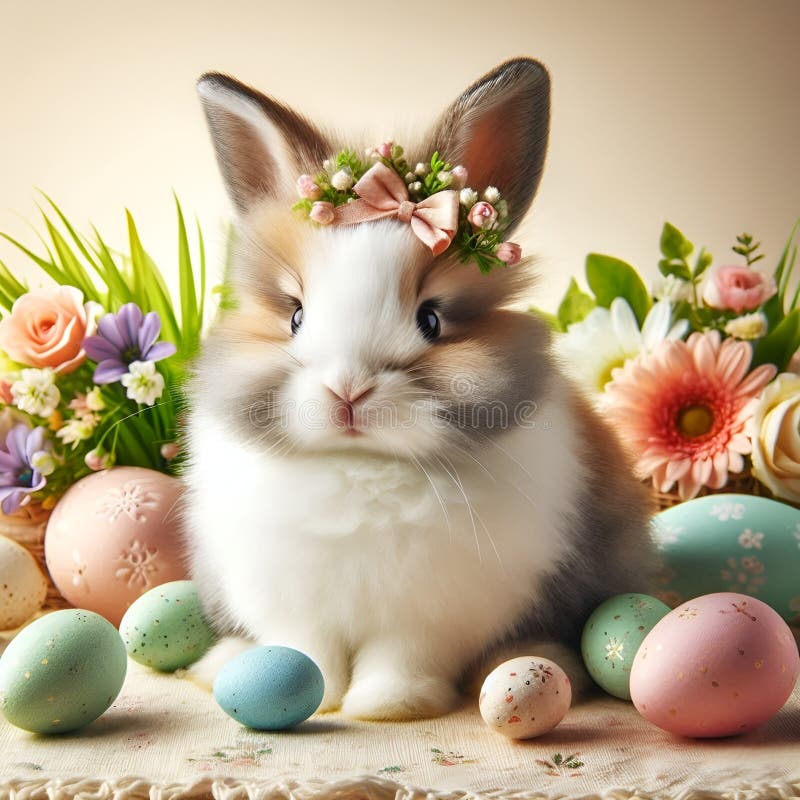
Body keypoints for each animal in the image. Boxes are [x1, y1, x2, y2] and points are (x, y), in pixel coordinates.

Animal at [182, 58, 655, 720]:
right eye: (296, 315)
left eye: (430, 319)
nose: (348, 391)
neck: (359, 466)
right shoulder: (291, 604)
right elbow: (306, 652)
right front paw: (318, 699)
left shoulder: (428, 618)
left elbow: (400, 659)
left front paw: (388, 707)